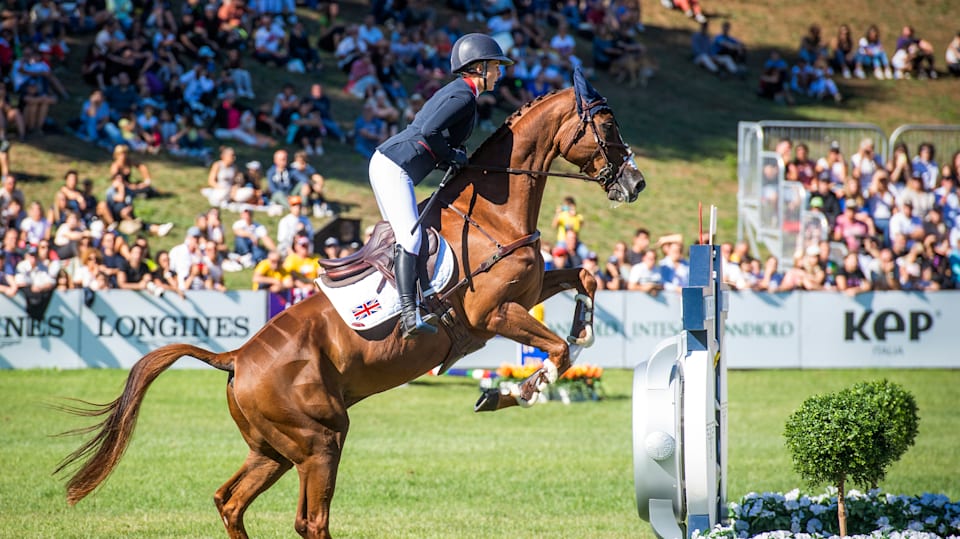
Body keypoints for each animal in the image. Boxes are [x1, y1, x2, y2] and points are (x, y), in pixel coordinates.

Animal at [56, 72, 646, 539]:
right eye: (608, 125)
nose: (635, 182)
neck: (491, 217)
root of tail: (236, 359)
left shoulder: (529, 291)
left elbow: (585, 279)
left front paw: (582, 335)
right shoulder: (495, 315)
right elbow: (556, 353)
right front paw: (516, 392)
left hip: (273, 450)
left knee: (231, 502)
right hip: (320, 441)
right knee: (309, 521)